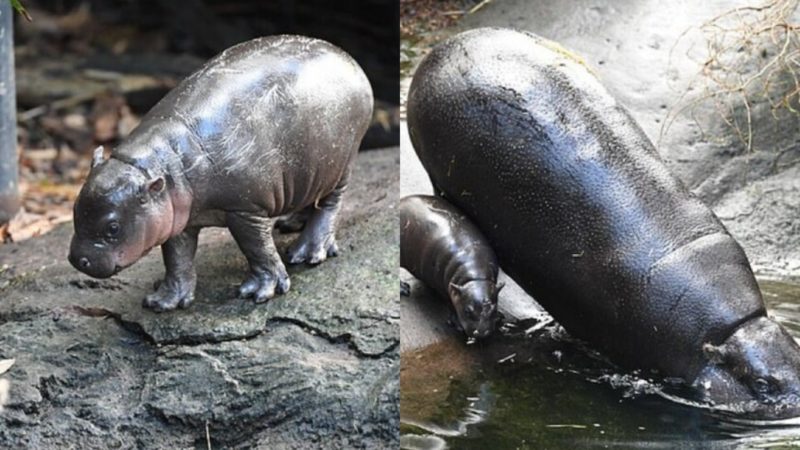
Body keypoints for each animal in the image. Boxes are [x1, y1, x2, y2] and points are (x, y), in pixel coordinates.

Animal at [69, 35, 373, 312]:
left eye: (113, 227)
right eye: (74, 209)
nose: (77, 260)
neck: (159, 164)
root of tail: (349, 59)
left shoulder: (245, 210)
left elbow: (258, 248)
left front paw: (259, 292)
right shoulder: (178, 215)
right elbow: (176, 258)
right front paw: (163, 301)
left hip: (341, 162)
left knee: (330, 204)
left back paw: (307, 252)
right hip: (310, 170)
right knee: (312, 196)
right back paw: (290, 223)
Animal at [400, 195, 503, 339]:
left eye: (494, 309)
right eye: (467, 311)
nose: (482, 333)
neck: (475, 276)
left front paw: (500, 317)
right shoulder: (447, 288)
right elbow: (451, 304)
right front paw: (457, 324)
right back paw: (404, 289)